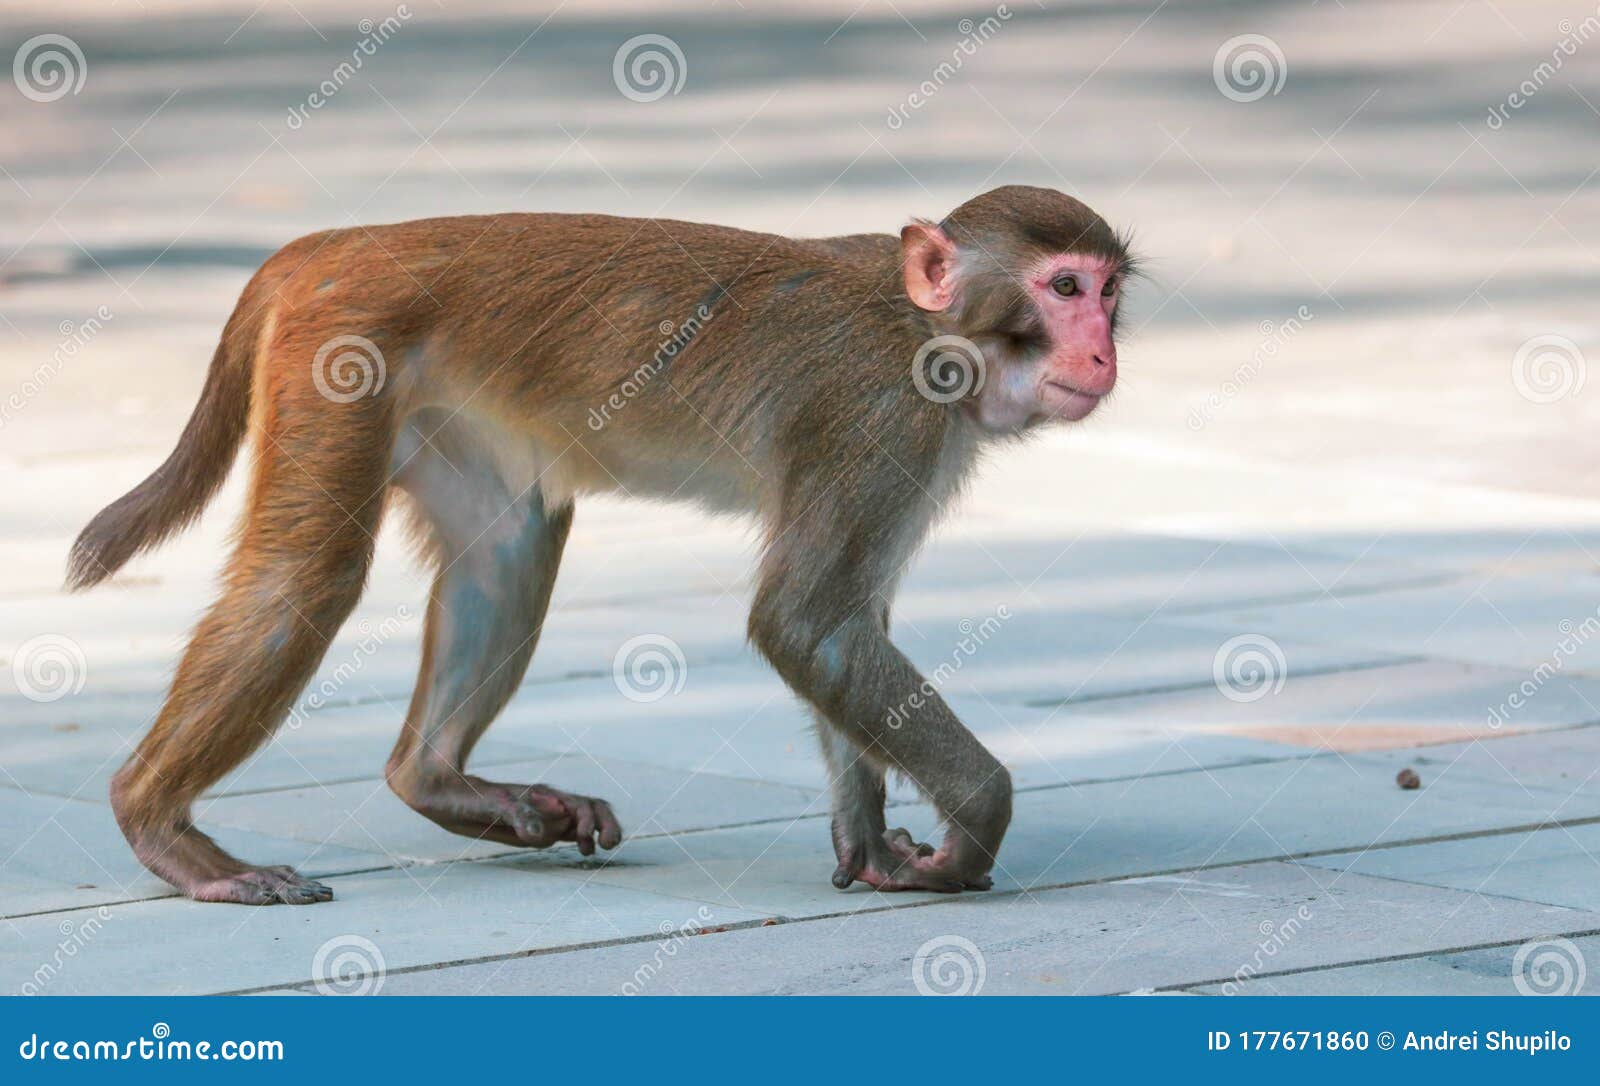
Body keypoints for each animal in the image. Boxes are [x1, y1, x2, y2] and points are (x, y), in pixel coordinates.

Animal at [67, 184, 1135, 904]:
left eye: (1109, 295)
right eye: (1063, 287)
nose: (1106, 351)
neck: (929, 332)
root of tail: (334, 241)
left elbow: (842, 620)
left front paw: (868, 843)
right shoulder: (882, 414)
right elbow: (807, 619)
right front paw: (977, 824)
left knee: (511, 544)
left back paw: (438, 781)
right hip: (341, 356)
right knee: (305, 580)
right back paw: (158, 825)